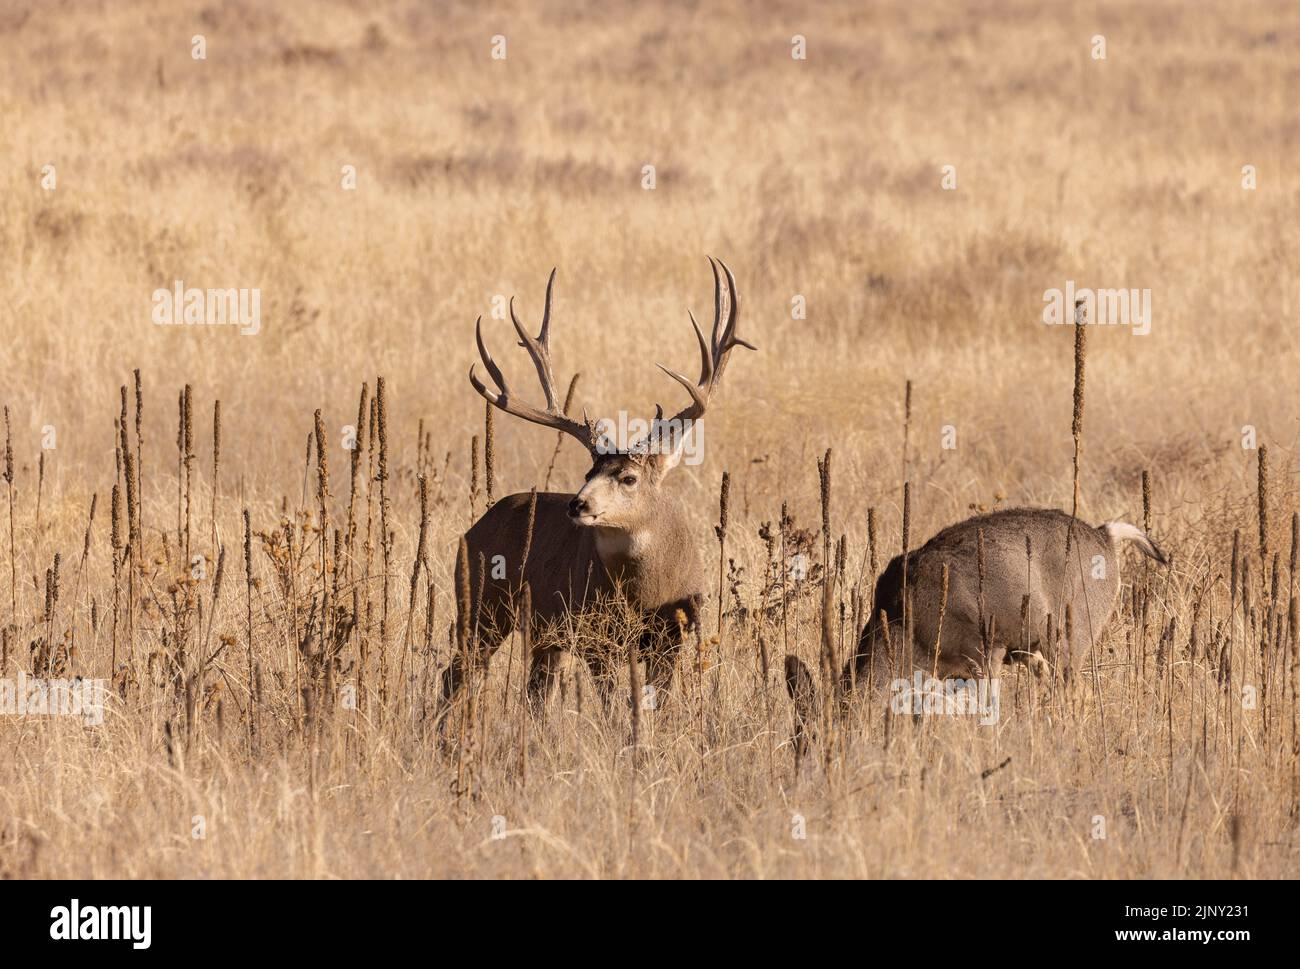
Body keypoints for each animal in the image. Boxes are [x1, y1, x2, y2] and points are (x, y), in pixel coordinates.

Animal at [437, 258, 755, 722]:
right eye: (588, 470)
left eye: (628, 478)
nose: (577, 504)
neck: (644, 592)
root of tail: (474, 527)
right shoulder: (595, 637)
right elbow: (612, 706)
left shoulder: (672, 635)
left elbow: (655, 704)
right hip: (482, 604)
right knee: (457, 673)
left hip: (543, 633)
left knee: (534, 692)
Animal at [785, 507, 1168, 726]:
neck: (904, 627)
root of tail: (1106, 538)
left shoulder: (985, 651)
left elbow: (988, 709)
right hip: (1033, 647)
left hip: (1071, 634)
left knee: (1076, 690)